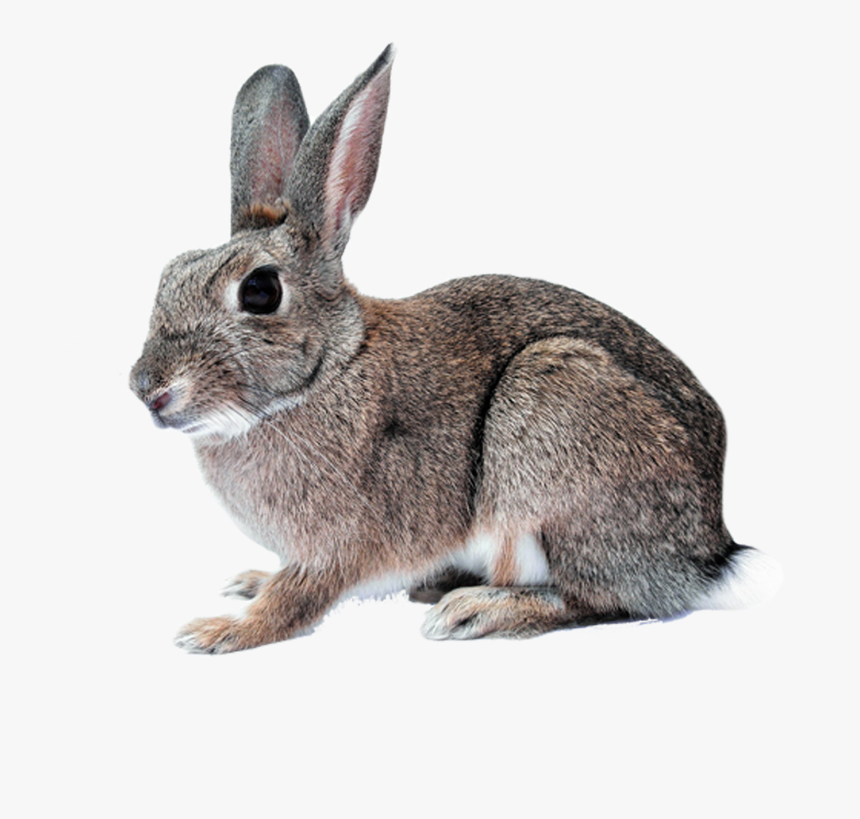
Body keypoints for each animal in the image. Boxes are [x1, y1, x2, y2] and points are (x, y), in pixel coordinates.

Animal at [130, 45, 781, 653]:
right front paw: (248, 584)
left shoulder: (340, 543)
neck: (327, 372)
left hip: (552, 420)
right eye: (169, 273)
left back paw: (478, 610)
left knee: (600, 599)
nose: (147, 390)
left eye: (260, 291)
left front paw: (220, 631)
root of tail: (709, 556)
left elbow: (297, 598)